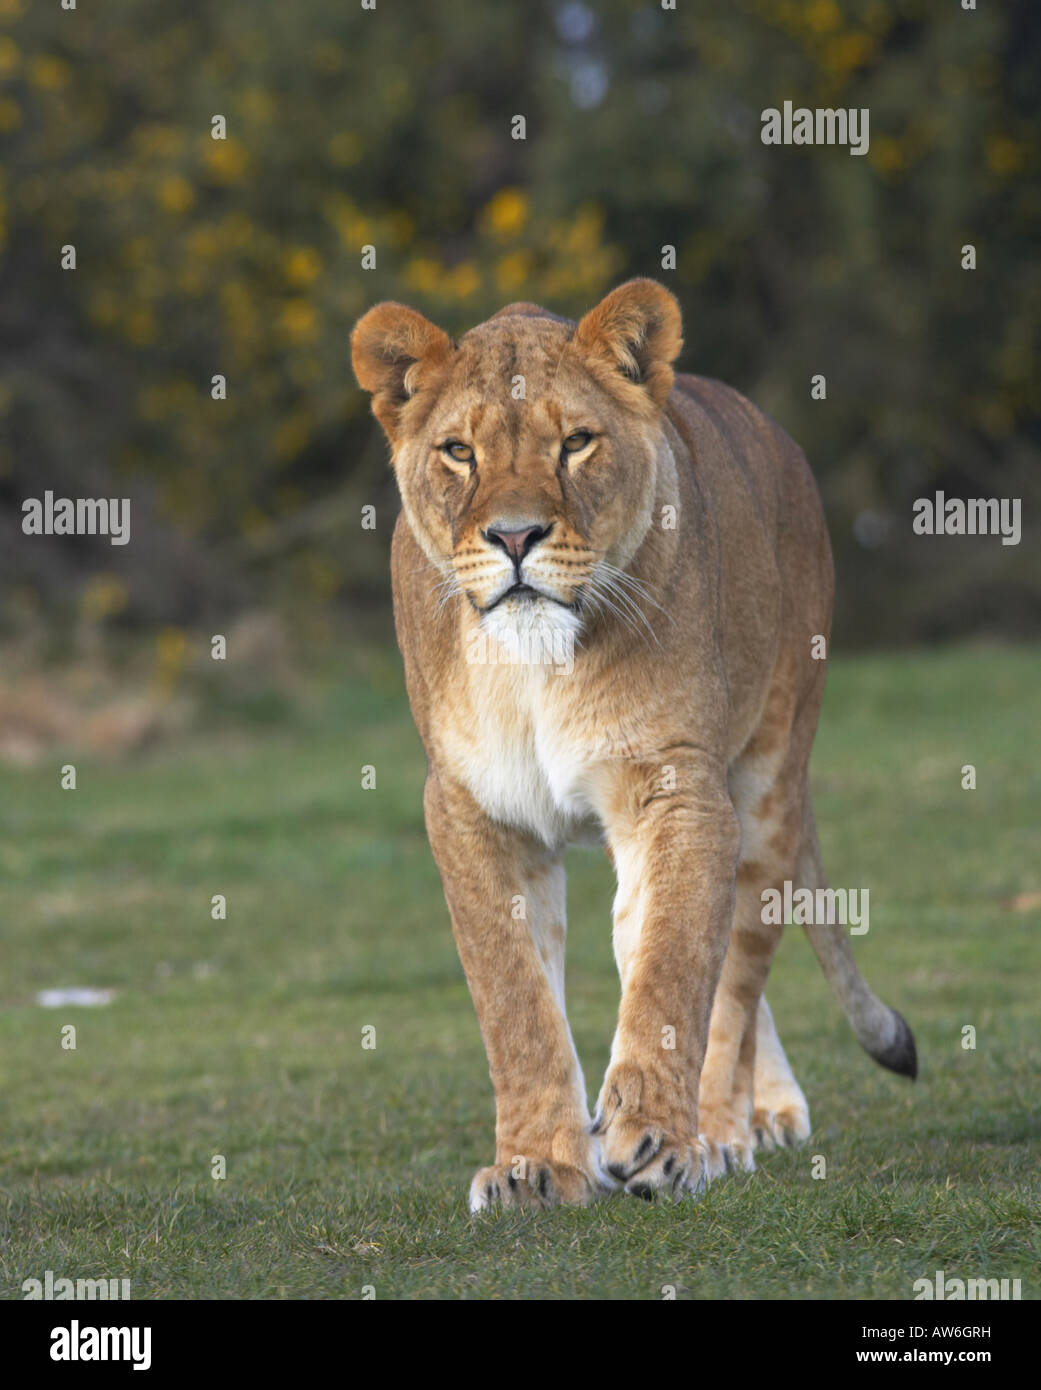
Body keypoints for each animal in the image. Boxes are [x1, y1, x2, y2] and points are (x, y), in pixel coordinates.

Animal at [351, 279, 916, 1210]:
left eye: (575, 442)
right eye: (459, 452)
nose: (514, 537)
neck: (534, 669)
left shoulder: (677, 790)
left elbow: (675, 976)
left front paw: (656, 1139)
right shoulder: (470, 810)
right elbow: (516, 1002)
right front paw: (535, 1165)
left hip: (767, 791)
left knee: (733, 982)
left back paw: (723, 1131)